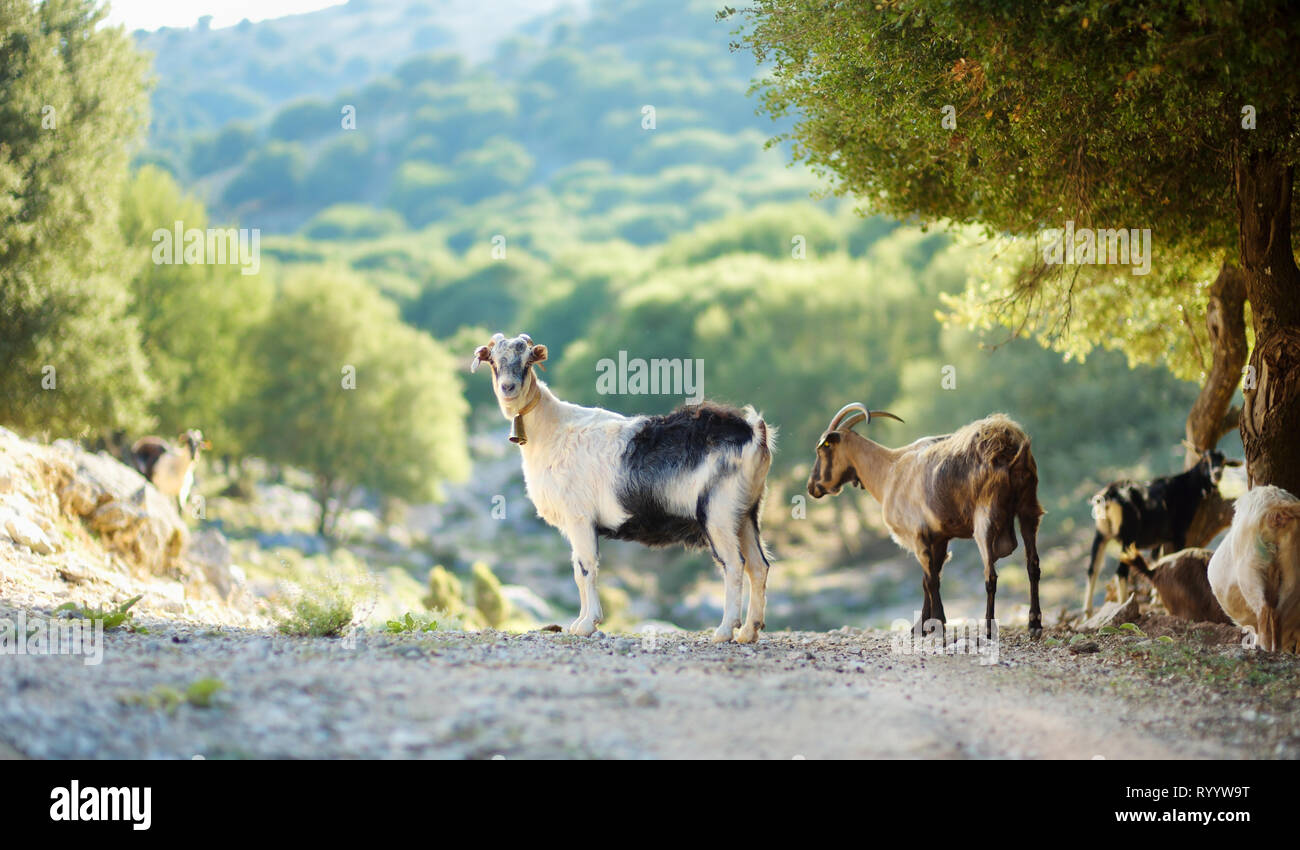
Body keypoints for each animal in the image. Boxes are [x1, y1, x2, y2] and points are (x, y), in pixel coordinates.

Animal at [471, 333, 775, 643]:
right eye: (493, 361)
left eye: (528, 360)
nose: (508, 387)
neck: (551, 430)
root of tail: (754, 432)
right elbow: (577, 569)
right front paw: (579, 622)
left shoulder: (579, 517)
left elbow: (586, 567)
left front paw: (587, 624)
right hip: (746, 512)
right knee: (758, 566)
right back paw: (749, 631)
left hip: (718, 513)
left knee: (734, 565)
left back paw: (725, 631)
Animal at [806, 405, 1044, 637]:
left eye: (823, 449)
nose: (812, 487)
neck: (889, 471)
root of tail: (1009, 445)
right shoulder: (939, 537)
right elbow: (929, 578)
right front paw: (921, 626)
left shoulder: (917, 536)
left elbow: (930, 581)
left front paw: (937, 624)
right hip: (1028, 508)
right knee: (1033, 565)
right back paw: (1034, 624)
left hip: (985, 520)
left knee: (990, 576)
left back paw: (988, 628)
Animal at [1084, 449, 1239, 617]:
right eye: (1205, 460)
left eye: (1223, 462)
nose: (1216, 474)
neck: (1185, 486)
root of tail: (1109, 496)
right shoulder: (1178, 534)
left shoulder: (1159, 540)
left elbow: (1155, 560)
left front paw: (1155, 597)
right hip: (1127, 535)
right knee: (1120, 571)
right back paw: (1123, 603)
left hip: (1101, 535)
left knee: (1093, 569)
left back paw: (1088, 612)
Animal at [1208, 485, 1300, 652]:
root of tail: (1276, 508)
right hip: (1293, 570)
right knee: (1278, 613)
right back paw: (1276, 649)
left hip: (1250, 569)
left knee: (1263, 609)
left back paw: (1263, 648)